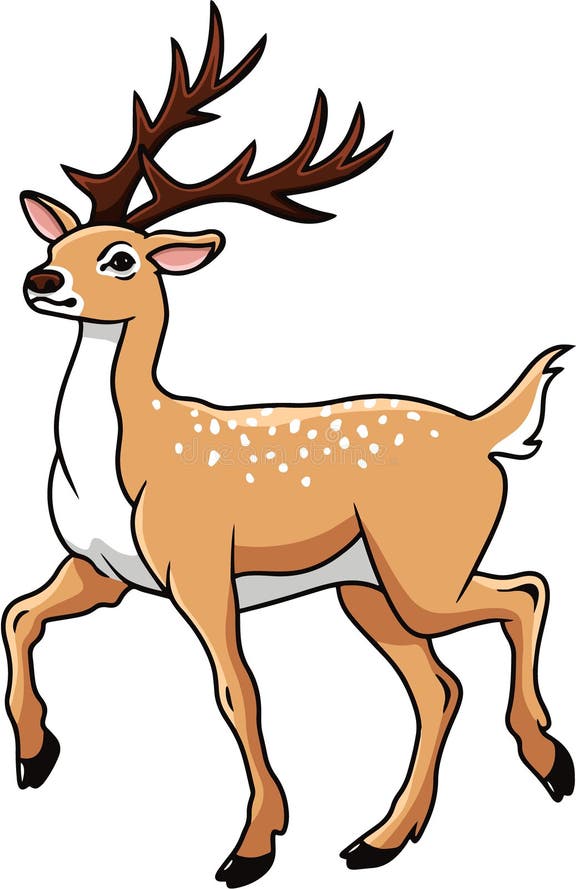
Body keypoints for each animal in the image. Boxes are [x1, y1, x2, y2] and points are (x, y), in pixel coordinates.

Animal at [3, 4, 574, 888]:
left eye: (121, 257)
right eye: (57, 244)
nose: (40, 282)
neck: (128, 460)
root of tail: (484, 431)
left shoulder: (200, 565)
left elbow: (237, 691)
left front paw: (252, 847)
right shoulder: (106, 569)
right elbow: (18, 613)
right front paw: (36, 754)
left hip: (423, 566)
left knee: (526, 590)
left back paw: (548, 760)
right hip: (367, 587)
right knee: (439, 683)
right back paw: (379, 839)